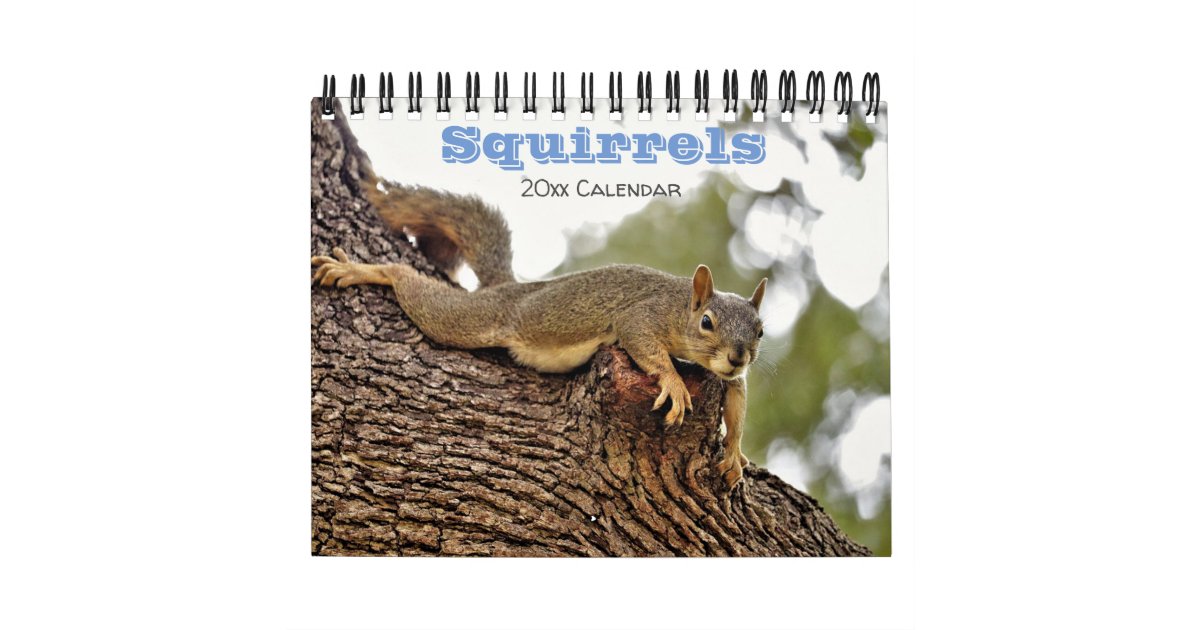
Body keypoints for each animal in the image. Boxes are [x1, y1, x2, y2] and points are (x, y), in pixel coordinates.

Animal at [312, 166, 767, 488]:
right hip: (478, 318)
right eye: (706, 322)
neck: (680, 307)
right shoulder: (642, 316)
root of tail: (511, 287)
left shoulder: (728, 376)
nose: (737, 356)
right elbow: (644, 343)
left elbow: (737, 401)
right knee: (420, 294)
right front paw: (673, 381)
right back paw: (364, 269)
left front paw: (734, 453)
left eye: (760, 331)